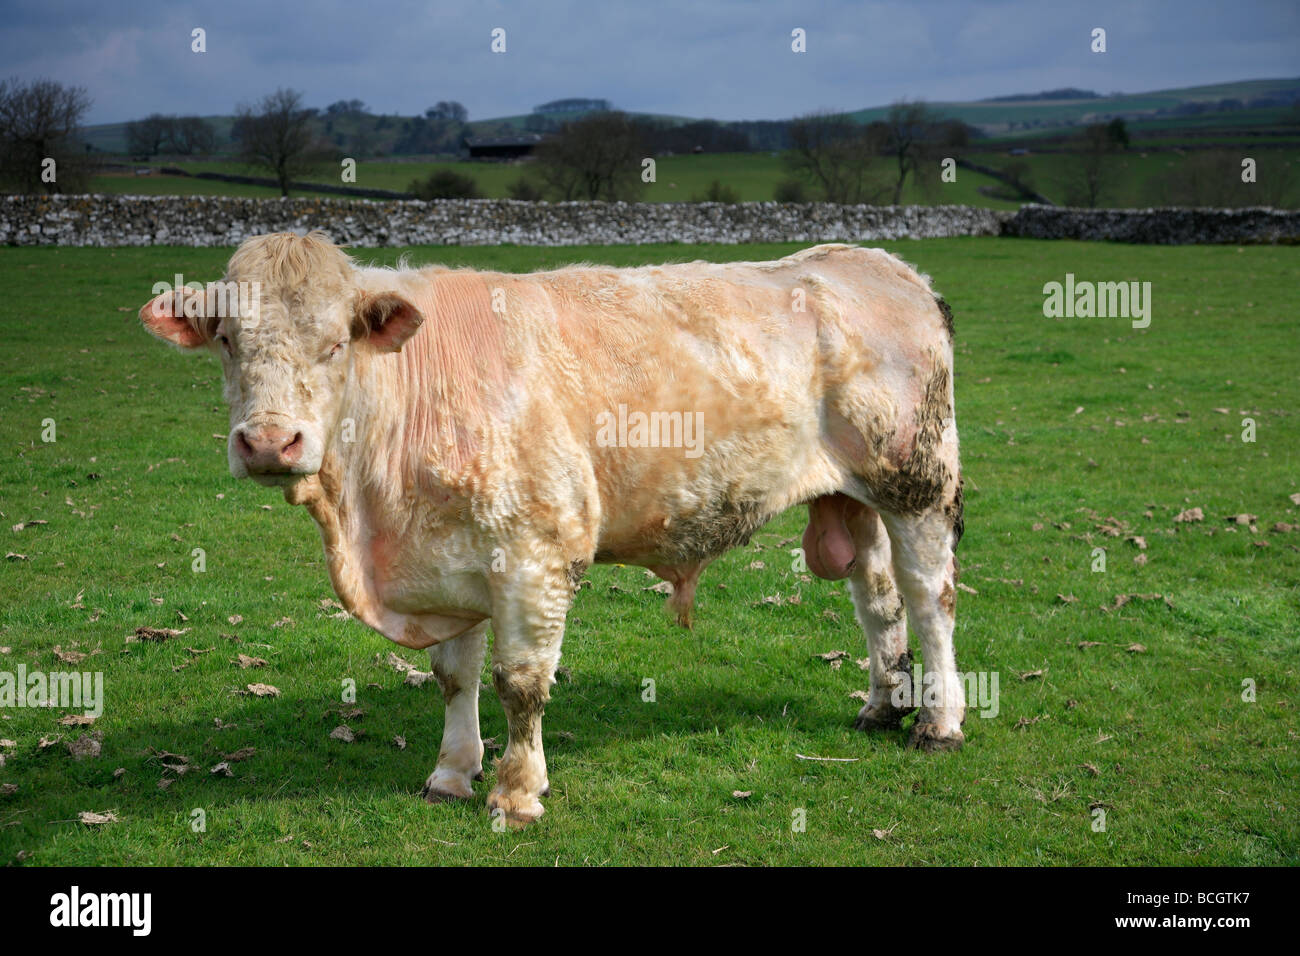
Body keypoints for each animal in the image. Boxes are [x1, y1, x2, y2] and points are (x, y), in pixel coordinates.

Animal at [139, 232, 965, 827]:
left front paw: (516, 791)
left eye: (336, 342)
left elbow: (521, 682)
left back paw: (939, 721)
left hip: (917, 484)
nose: (269, 443)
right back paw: (882, 704)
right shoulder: (454, 558)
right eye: (227, 340)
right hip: (856, 499)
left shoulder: (534, 551)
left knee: (930, 600)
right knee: (877, 598)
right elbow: (454, 675)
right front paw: (451, 771)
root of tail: (879, 263)